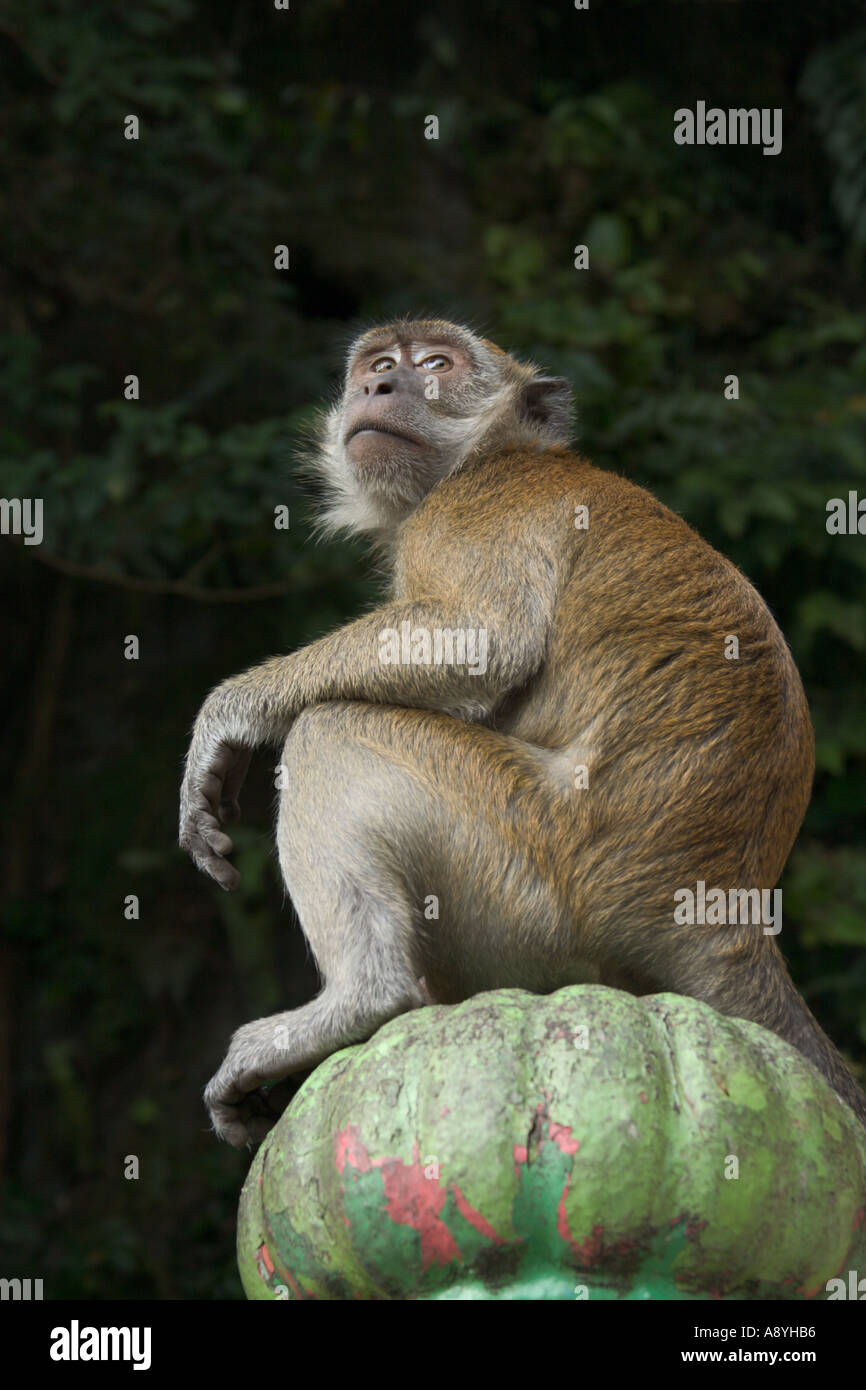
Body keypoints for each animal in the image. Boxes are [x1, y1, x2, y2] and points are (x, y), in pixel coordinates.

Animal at [179, 316, 866, 1146]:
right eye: (376, 364)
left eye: (435, 364)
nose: (380, 384)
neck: (491, 455)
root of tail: (724, 907)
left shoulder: (470, 510)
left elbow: (479, 640)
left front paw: (231, 710)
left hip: (544, 862)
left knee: (332, 729)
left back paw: (360, 1001)